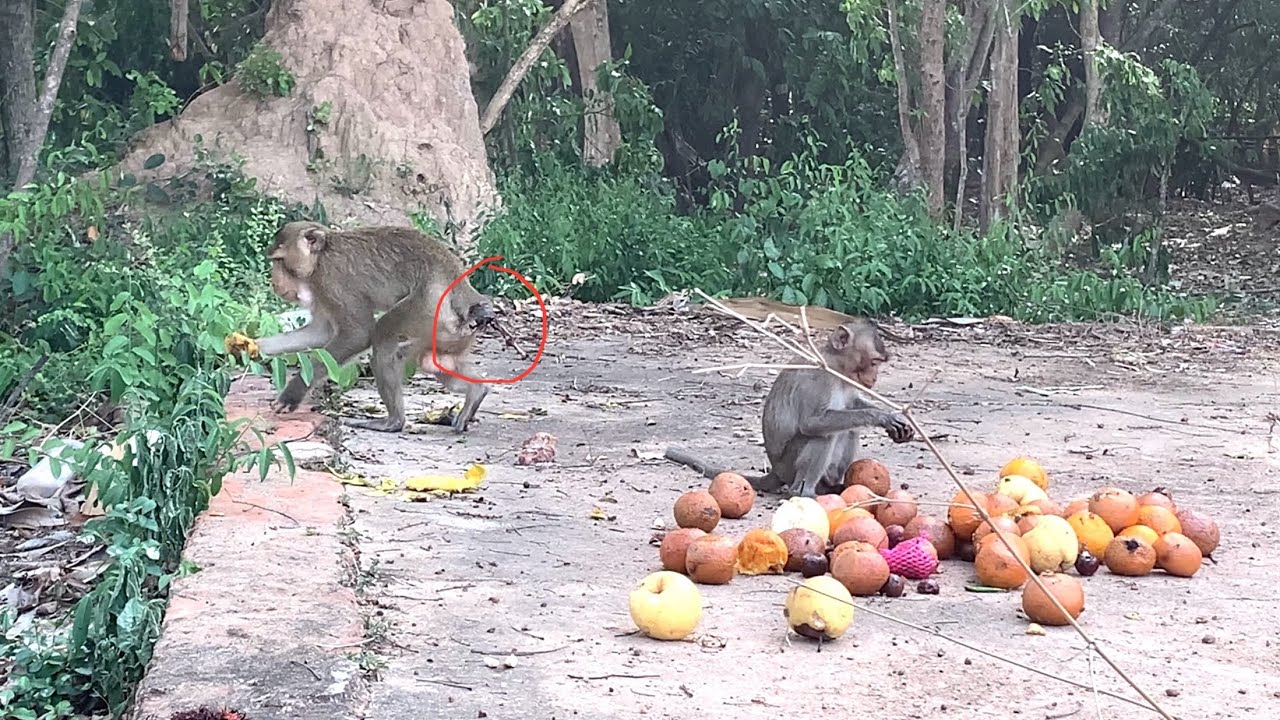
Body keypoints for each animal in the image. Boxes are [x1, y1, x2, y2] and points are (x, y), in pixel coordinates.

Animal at [255, 220, 495, 433]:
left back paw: (393, 422)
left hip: (427, 308)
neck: (320, 257)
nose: (273, 282)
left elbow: (358, 334)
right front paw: (252, 346)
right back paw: (476, 391)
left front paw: (292, 395)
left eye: (279, 261)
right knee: (433, 362)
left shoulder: (332, 281)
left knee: (383, 337)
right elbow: (321, 332)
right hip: (446, 332)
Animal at [664, 319, 914, 498]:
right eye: (874, 362)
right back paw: (804, 492)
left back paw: (833, 484)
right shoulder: (818, 379)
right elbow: (812, 423)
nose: (874, 377)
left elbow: (852, 404)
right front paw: (879, 416)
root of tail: (775, 469)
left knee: (850, 428)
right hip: (788, 466)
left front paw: (892, 417)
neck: (835, 366)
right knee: (822, 435)